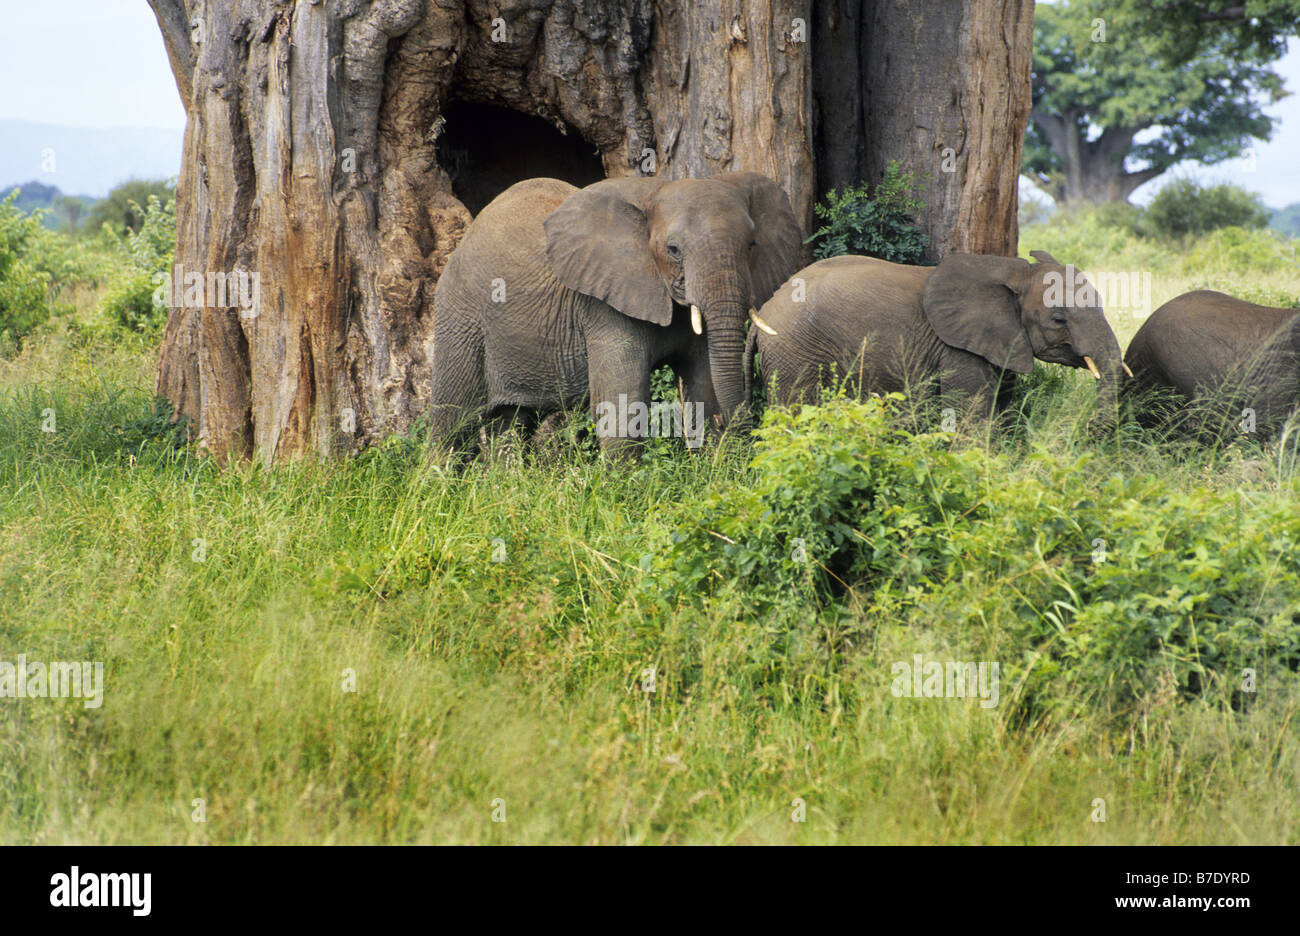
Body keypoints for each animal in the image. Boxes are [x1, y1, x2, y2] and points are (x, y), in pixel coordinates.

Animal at [429, 172, 801, 457]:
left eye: (752, 245)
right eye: (673, 250)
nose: (745, 442)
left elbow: (703, 386)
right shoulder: (603, 303)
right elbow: (623, 400)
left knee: (509, 422)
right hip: (458, 313)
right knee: (452, 421)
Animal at [746, 250, 1129, 425]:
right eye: (1059, 319)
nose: (1090, 426)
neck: (1016, 271)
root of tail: (763, 311)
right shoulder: (958, 350)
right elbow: (971, 413)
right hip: (793, 352)